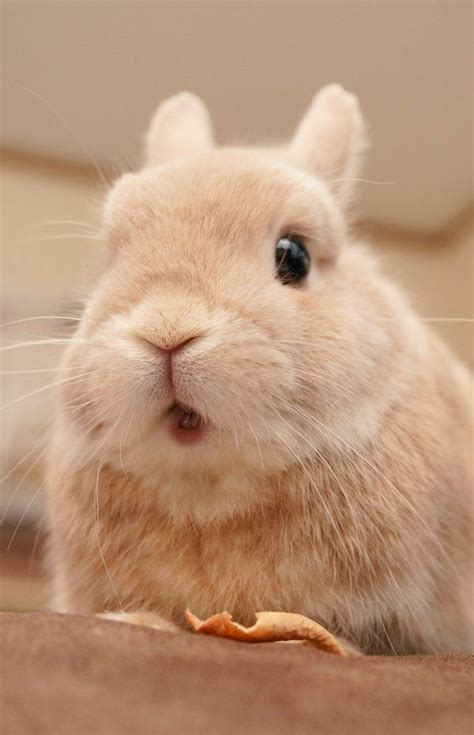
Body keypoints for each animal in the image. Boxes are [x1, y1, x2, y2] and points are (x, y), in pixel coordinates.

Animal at [46, 85, 473, 655]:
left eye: (294, 257)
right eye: (110, 260)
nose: (167, 331)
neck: (207, 491)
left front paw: (302, 643)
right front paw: (133, 622)